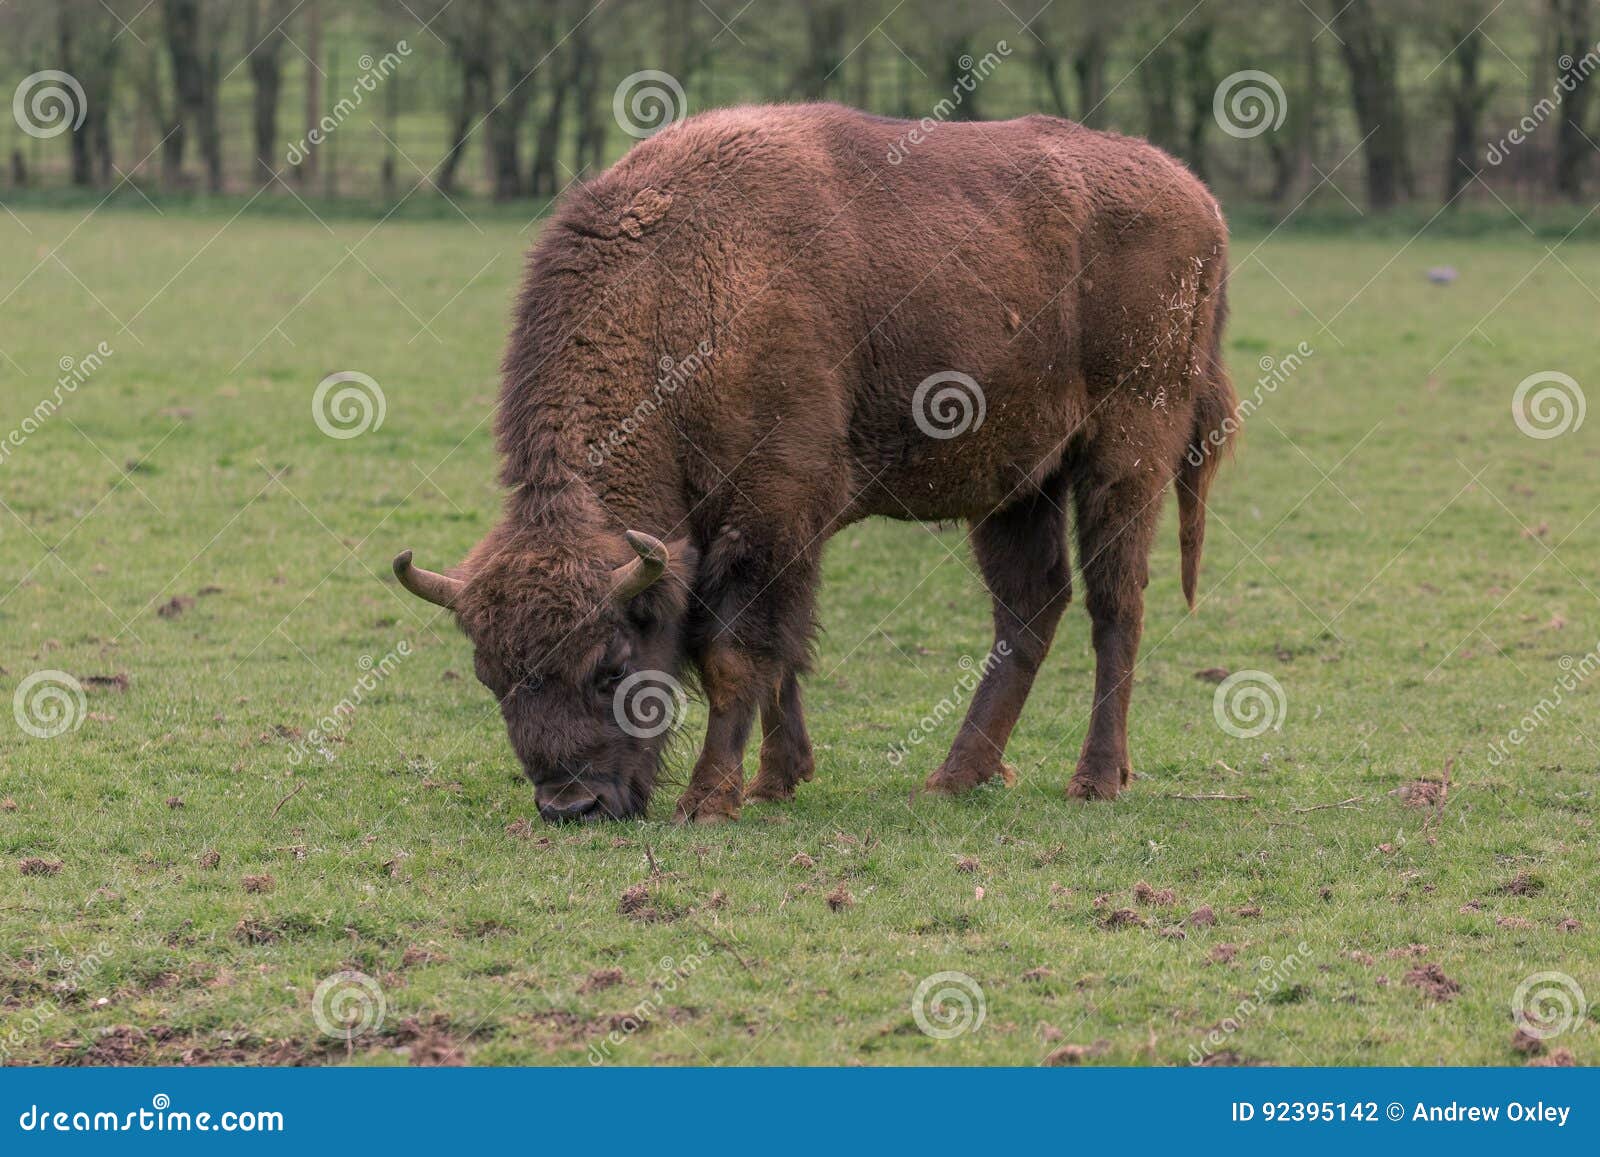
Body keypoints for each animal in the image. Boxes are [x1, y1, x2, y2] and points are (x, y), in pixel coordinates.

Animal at [394, 103, 1236, 824]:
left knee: (1115, 605)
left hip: (1125, 453)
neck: (680, 295)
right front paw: (777, 779)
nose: (571, 805)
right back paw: (955, 776)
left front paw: (710, 799)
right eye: (491, 676)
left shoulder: (772, 511)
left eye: (611, 665)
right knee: (1030, 608)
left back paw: (1094, 779)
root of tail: (1198, 198)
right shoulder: (775, 537)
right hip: (1016, 485)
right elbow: (782, 655)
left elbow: (735, 654)